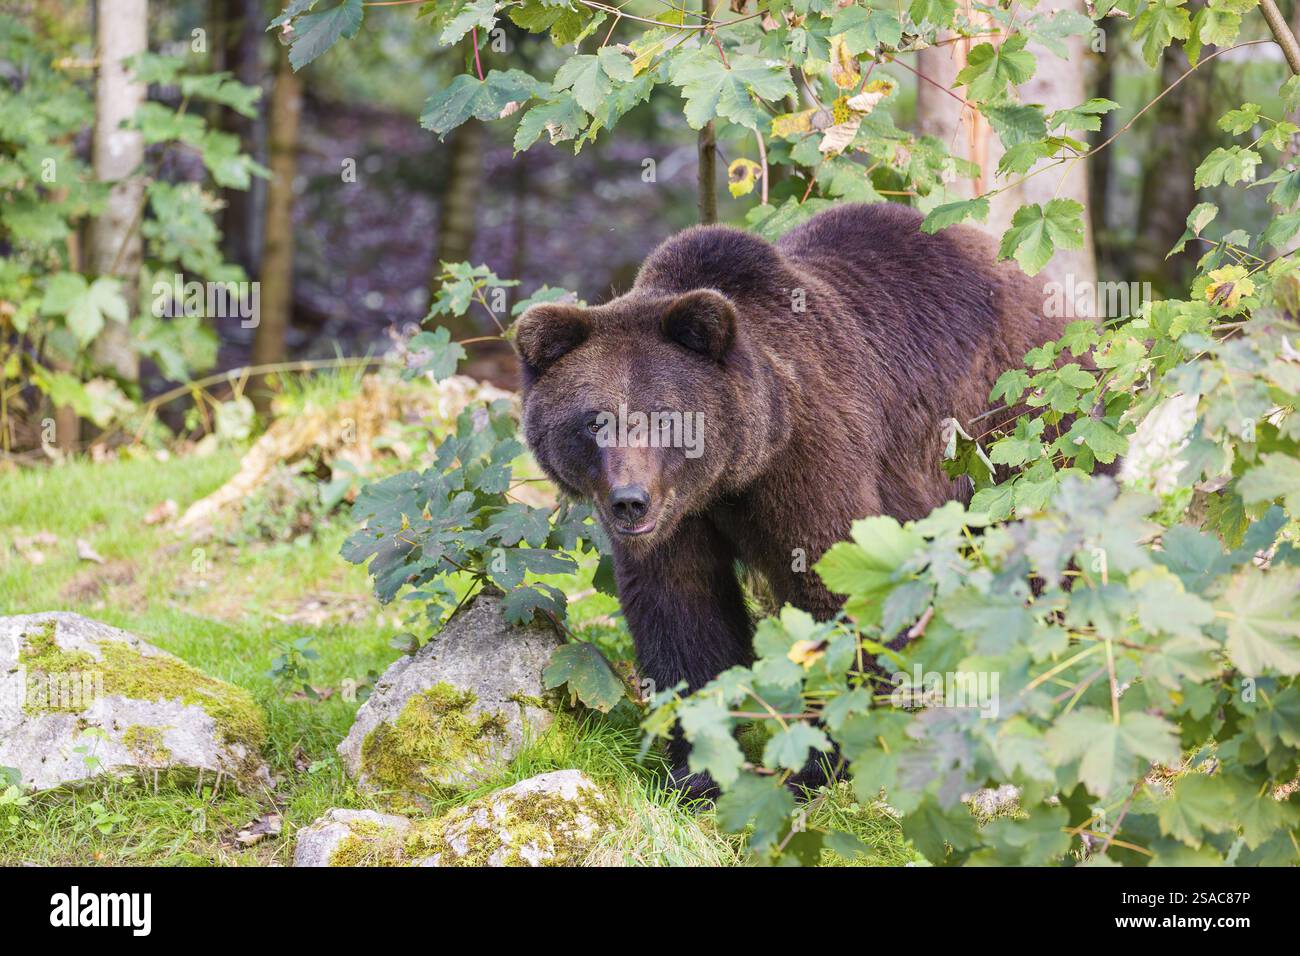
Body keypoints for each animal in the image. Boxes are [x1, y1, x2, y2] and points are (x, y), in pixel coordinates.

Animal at [513, 202, 1068, 797]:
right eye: (594, 421)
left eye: (664, 417)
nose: (629, 501)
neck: (733, 474)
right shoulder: (678, 522)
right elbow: (683, 610)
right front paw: (695, 770)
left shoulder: (809, 457)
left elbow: (834, 583)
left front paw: (819, 765)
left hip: (1015, 422)